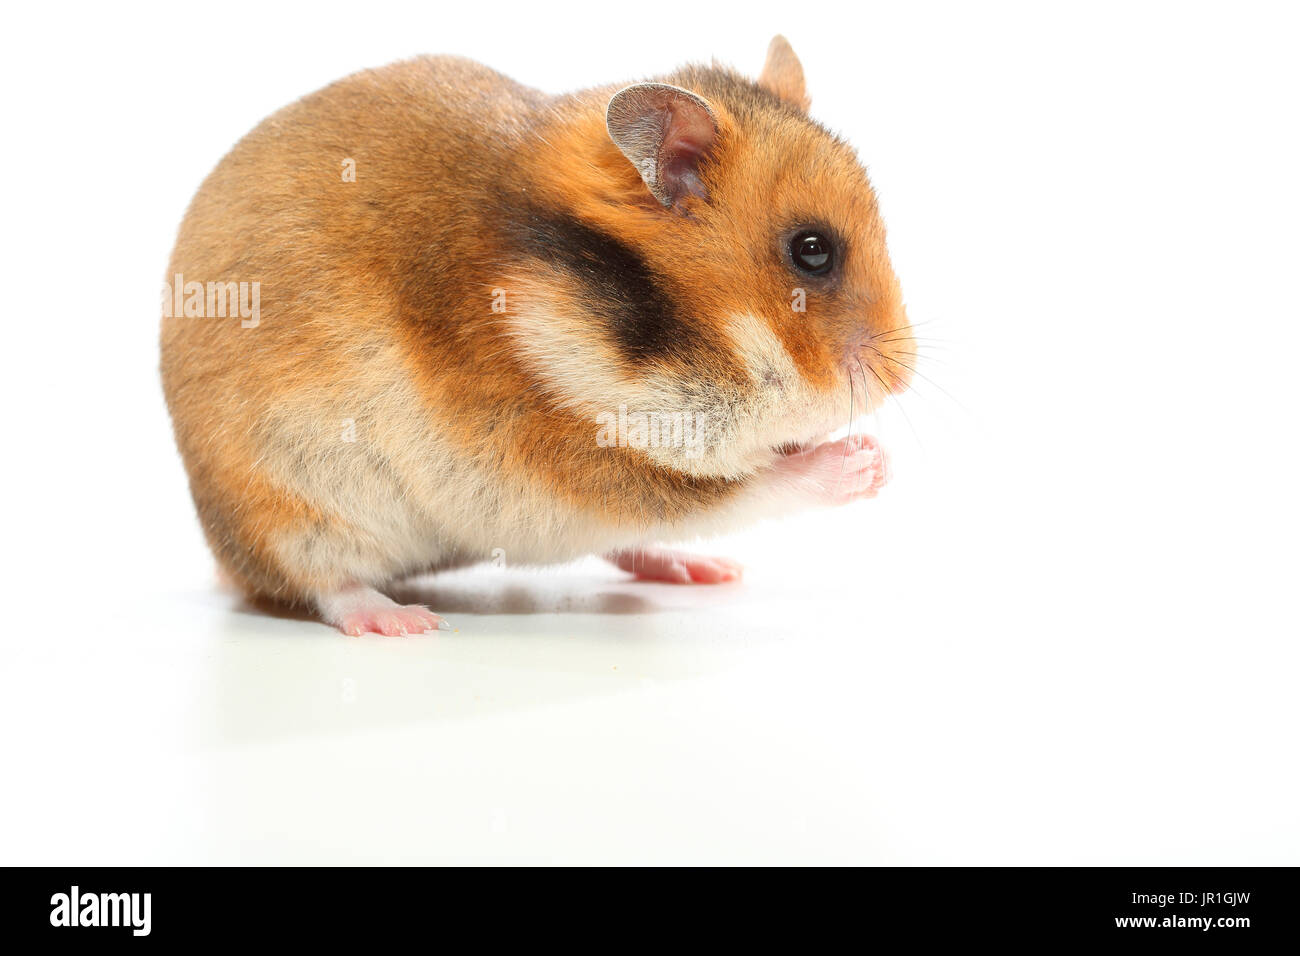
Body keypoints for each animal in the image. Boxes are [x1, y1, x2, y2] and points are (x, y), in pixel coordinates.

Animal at [160, 36, 914, 635]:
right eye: (812, 251)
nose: (900, 382)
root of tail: (226, 556)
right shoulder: (571, 459)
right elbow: (742, 486)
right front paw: (868, 462)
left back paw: (703, 570)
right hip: (286, 506)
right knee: (323, 581)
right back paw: (403, 623)